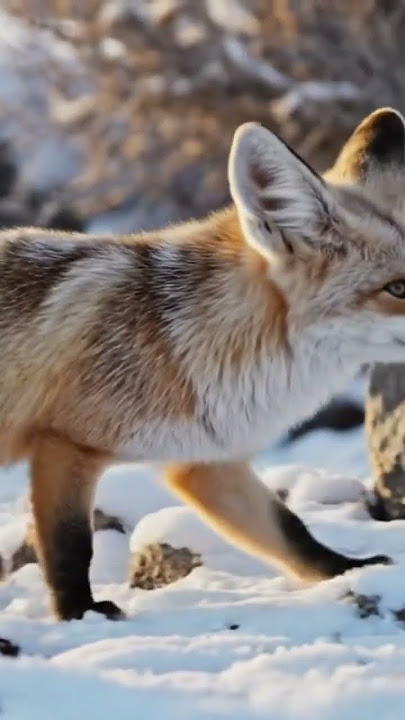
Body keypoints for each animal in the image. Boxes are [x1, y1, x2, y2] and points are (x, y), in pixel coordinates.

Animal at [0, 106, 405, 630]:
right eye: (398, 289)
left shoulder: (208, 459)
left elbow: (290, 531)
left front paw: (350, 570)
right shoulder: (64, 443)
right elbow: (71, 548)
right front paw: (80, 614)